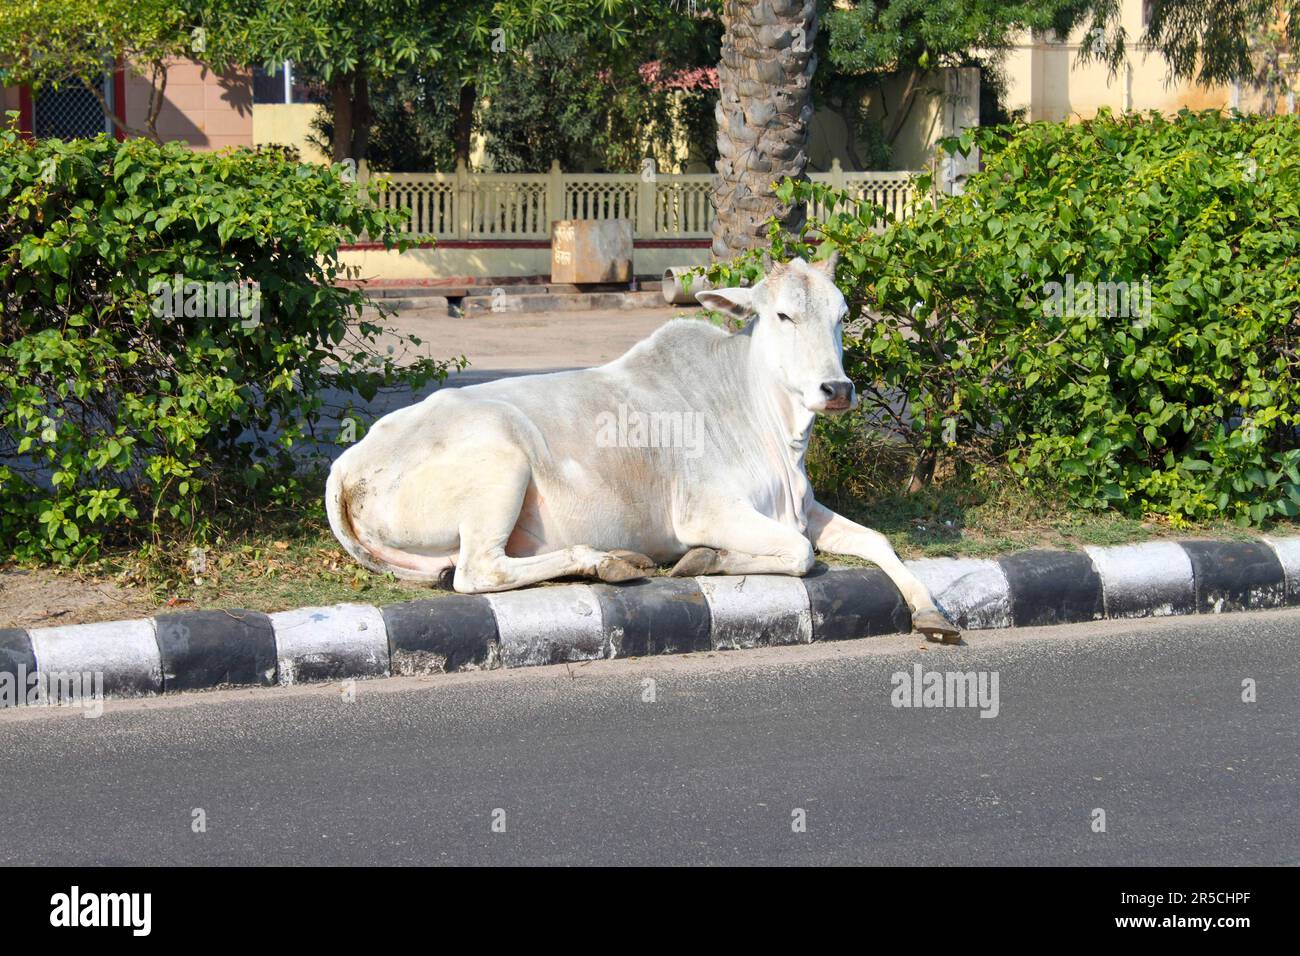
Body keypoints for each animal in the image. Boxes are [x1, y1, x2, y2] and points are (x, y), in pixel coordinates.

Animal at [326, 255, 959, 641]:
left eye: (843, 315)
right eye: (781, 314)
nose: (837, 389)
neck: (769, 421)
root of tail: (350, 462)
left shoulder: (804, 507)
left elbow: (876, 541)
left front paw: (931, 612)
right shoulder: (706, 512)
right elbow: (802, 554)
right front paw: (703, 560)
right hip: (501, 467)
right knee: (477, 571)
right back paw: (606, 561)